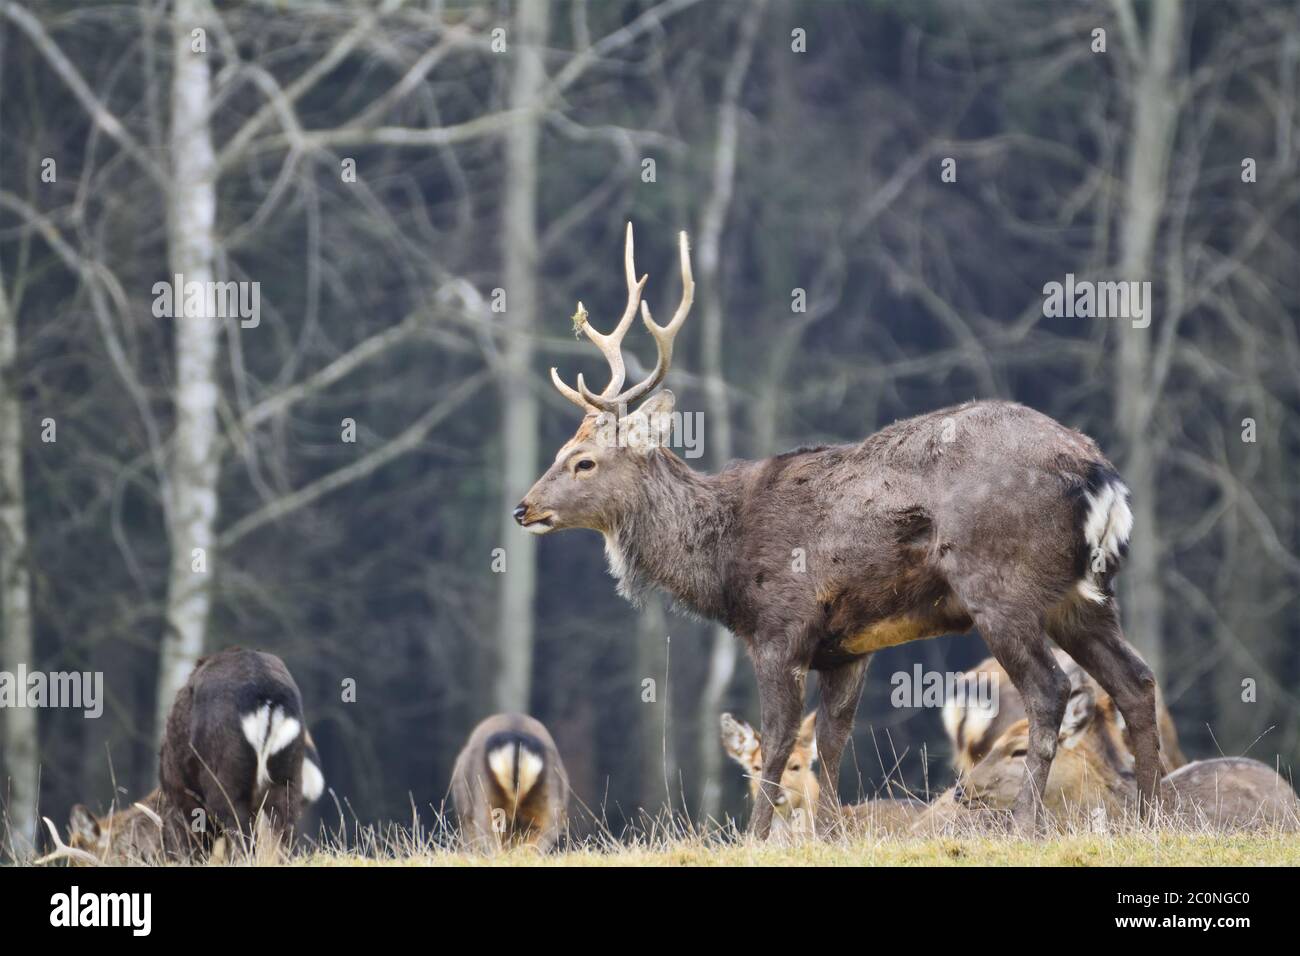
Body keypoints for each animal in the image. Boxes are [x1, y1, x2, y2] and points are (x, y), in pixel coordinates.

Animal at [37, 648, 323, 865]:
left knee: (243, 837)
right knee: (284, 835)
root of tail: (268, 697)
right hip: (288, 776)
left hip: (224, 777)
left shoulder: (183, 802)